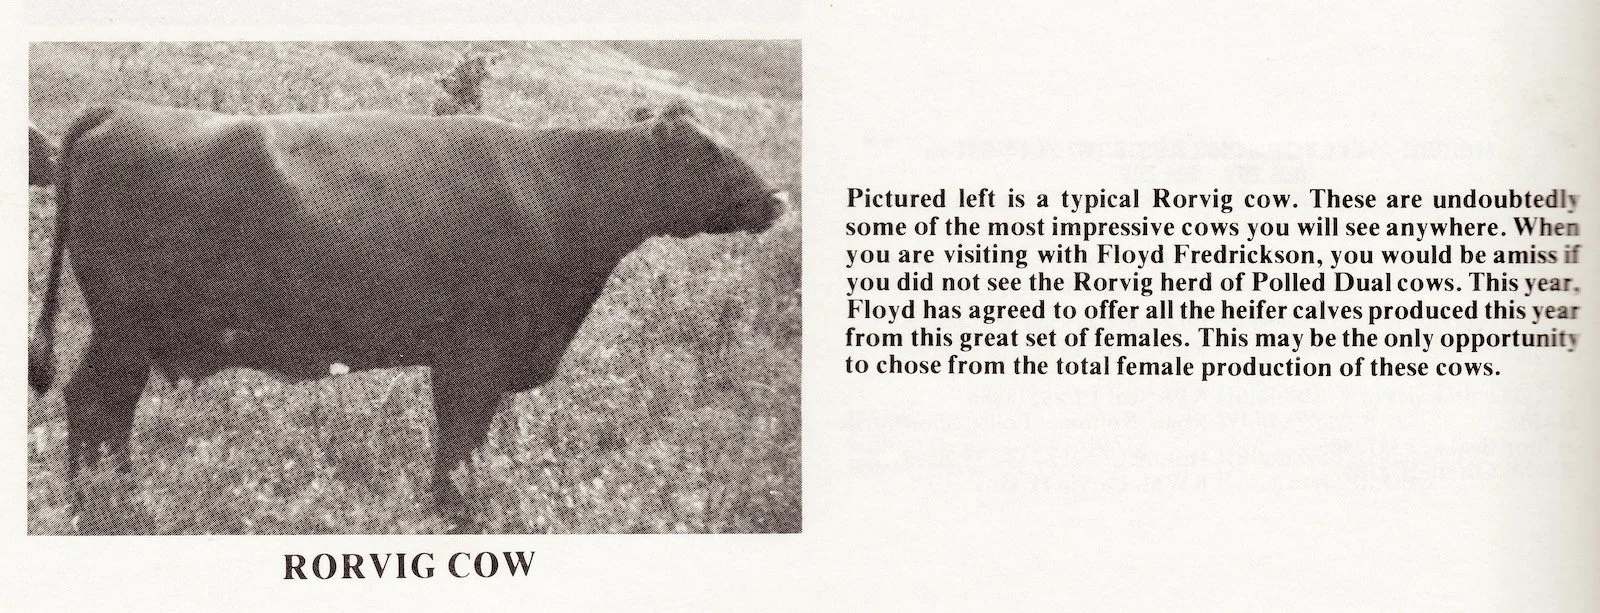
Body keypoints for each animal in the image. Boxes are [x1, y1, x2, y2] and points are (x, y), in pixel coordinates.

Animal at [29, 100, 786, 517]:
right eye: (709, 152)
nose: (778, 197)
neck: (558, 189)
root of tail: (119, 111)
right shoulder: (472, 363)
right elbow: (457, 454)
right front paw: (455, 516)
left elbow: (461, 452)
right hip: (125, 331)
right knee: (94, 404)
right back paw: (109, 502)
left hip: (129, 337)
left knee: (105, 410)